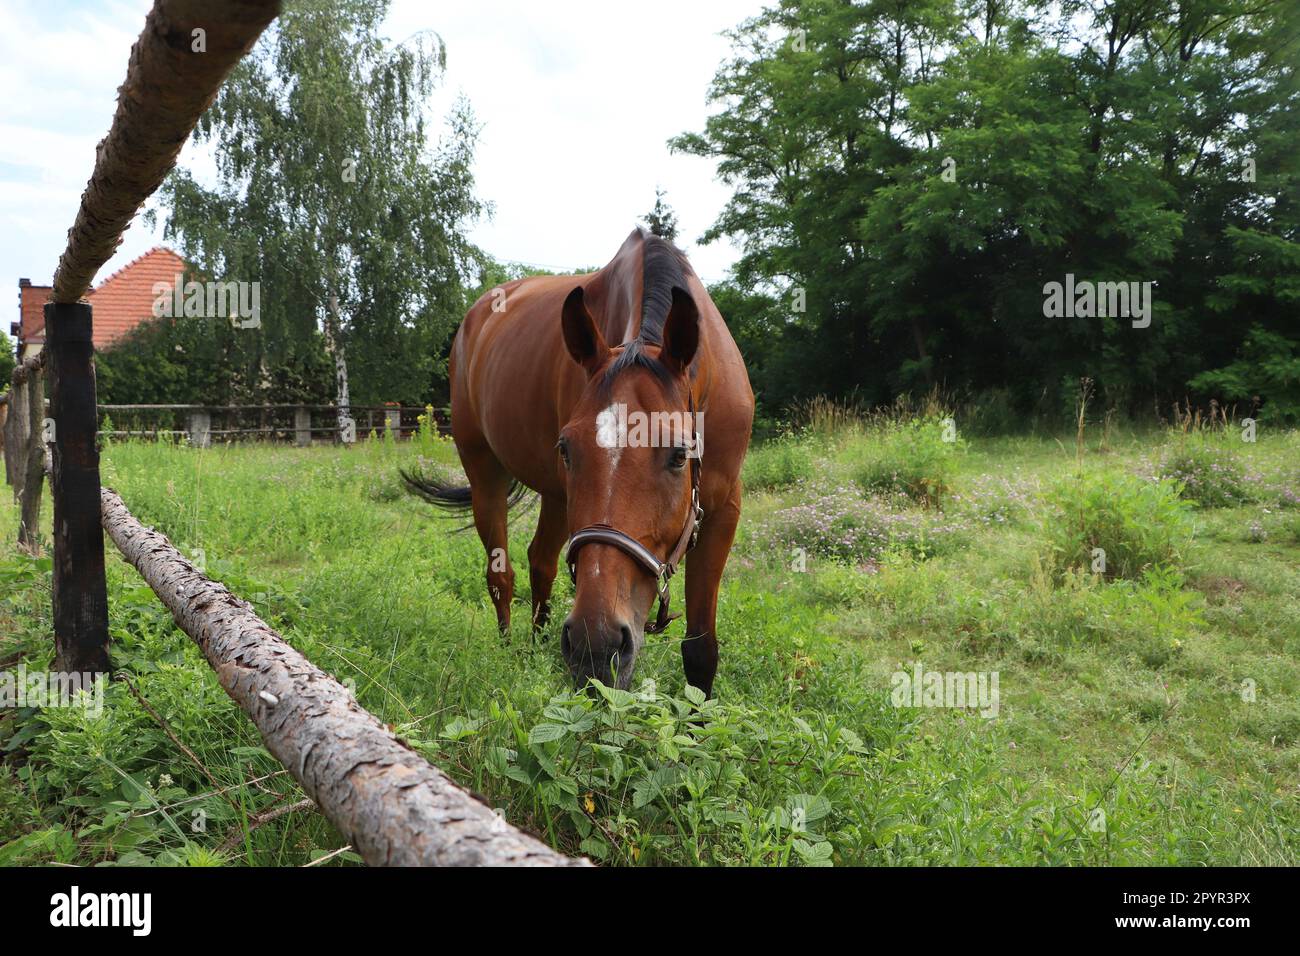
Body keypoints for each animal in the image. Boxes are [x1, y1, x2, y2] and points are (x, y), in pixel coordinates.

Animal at [404, 227, 753, 695]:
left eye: (680, 455)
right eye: (568, 448)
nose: (597, 645)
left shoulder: (722, 509)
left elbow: (700, 650)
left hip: (555, 496)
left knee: (541, 563)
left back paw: (538, 644)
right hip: (484, 471)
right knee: (502, 575)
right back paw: (510, 647)